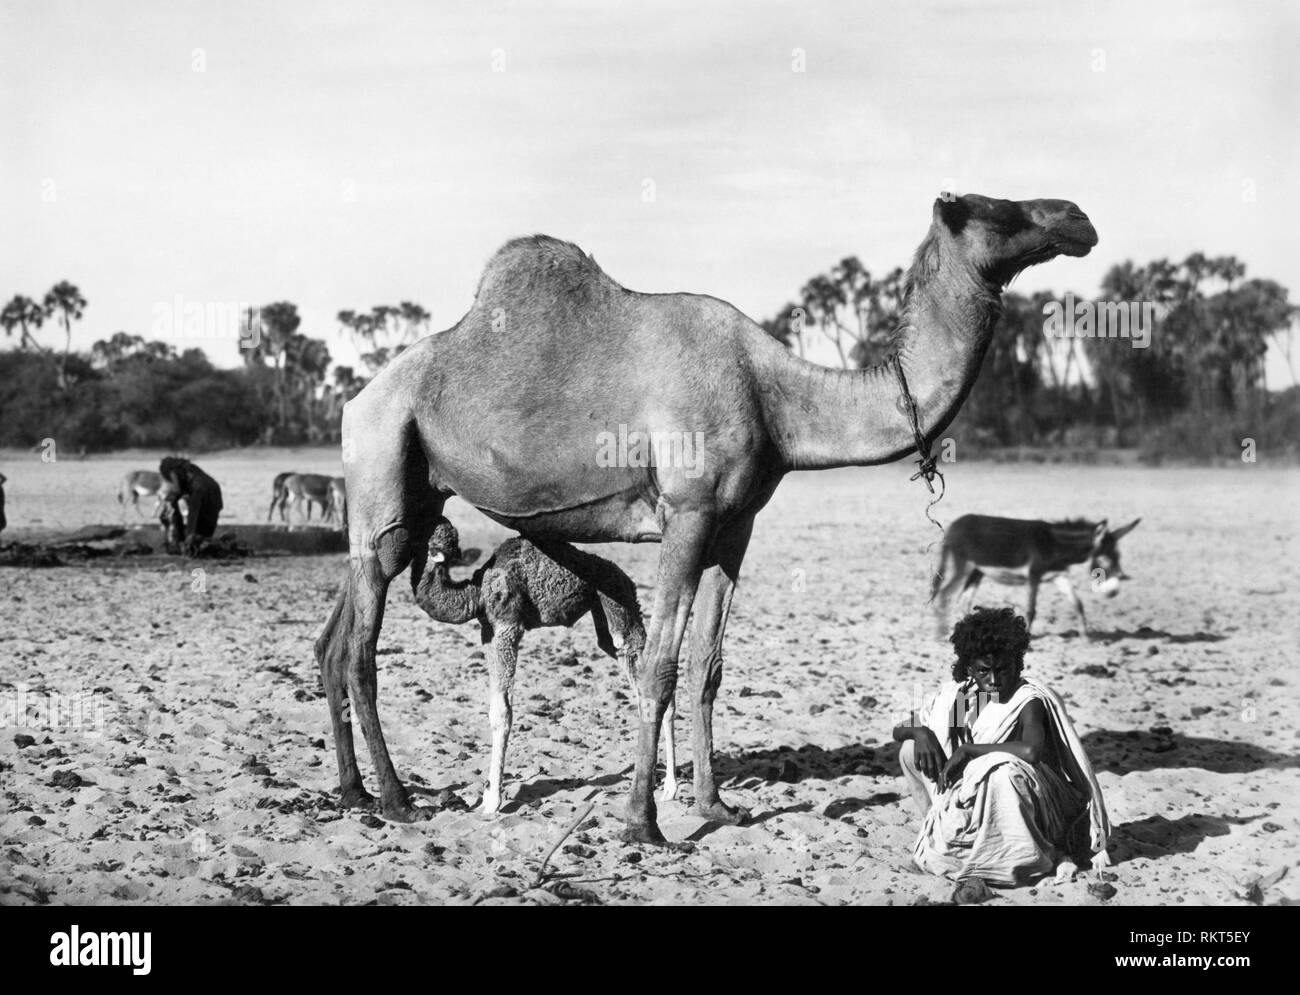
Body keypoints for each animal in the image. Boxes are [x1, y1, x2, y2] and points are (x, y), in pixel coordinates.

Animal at [412, 517, 674, 813]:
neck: (476, 590)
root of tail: (627, 579)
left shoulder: (507, 626)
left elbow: (502, 712)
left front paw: (492, 801)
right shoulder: (487, 630)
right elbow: (493, 708)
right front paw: (488, 794)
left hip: (618, 601)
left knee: (635, 653)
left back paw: (670, 788)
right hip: (603, 614)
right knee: (624, 659)